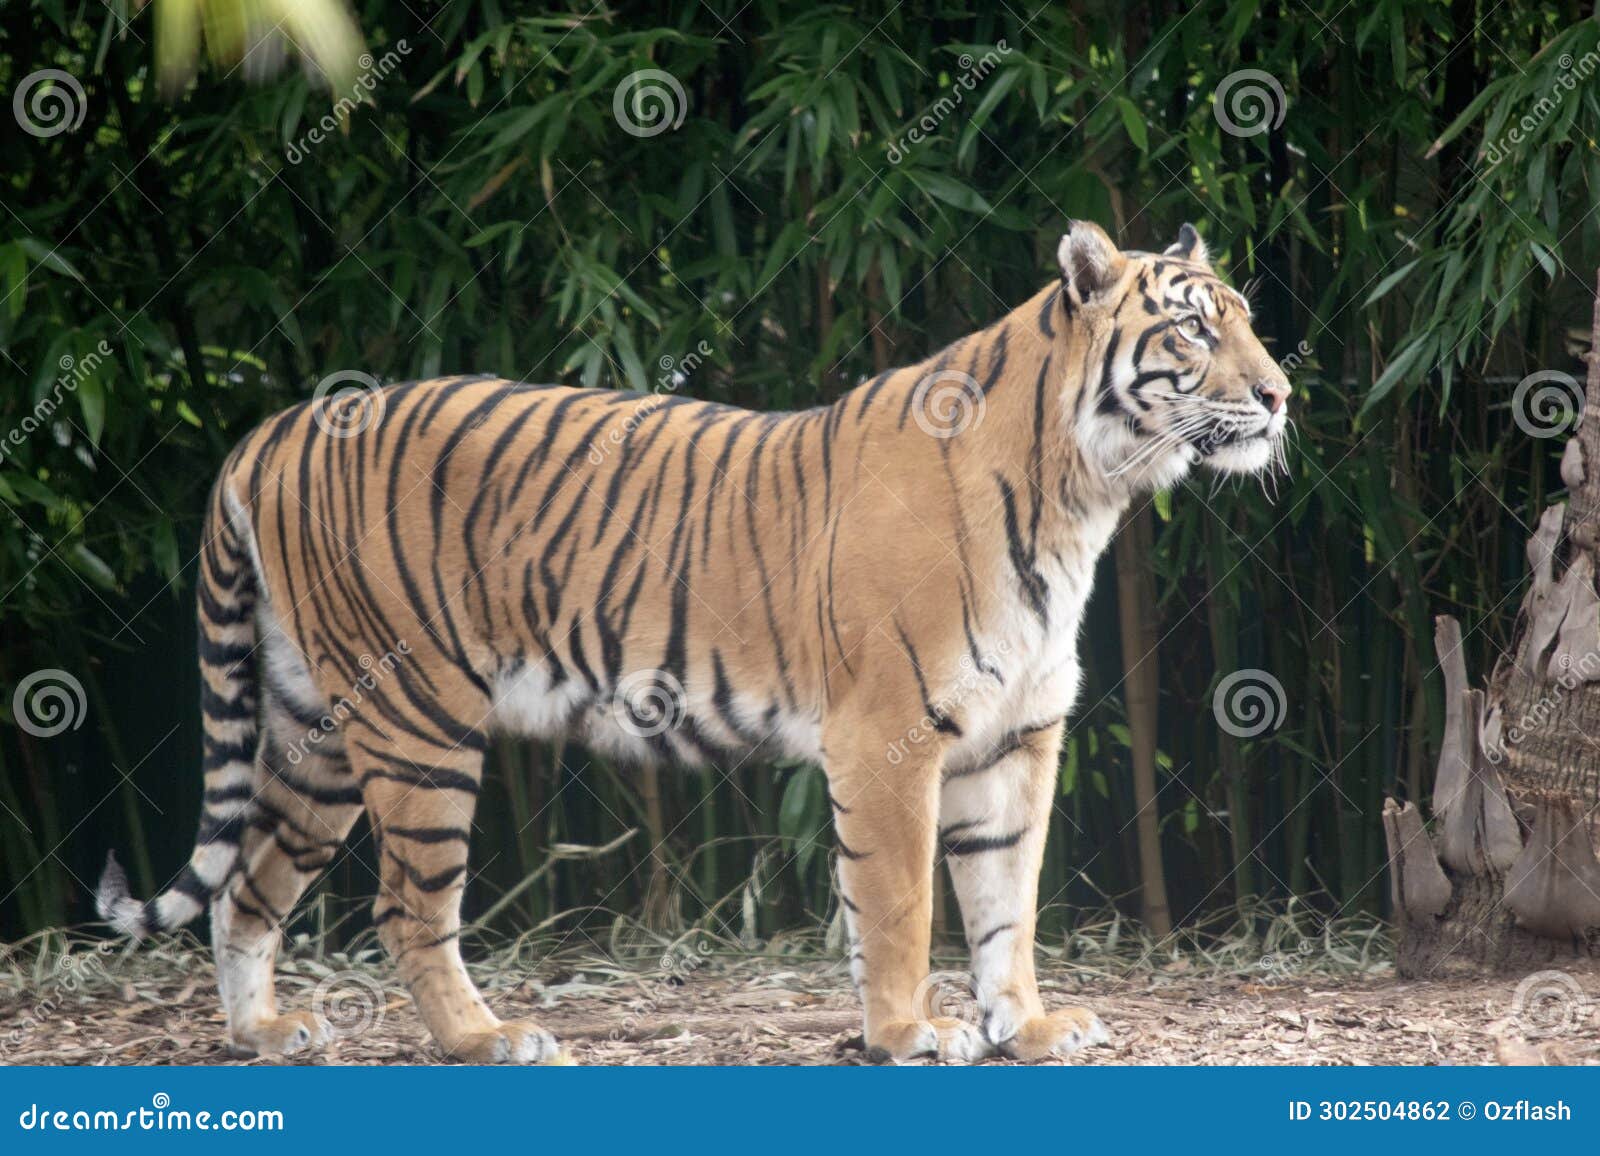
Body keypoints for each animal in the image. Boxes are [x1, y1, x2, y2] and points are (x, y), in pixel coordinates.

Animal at [96, 220, 1290, 1064]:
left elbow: (1007, 902)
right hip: (416, 720)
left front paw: (1027, 1027)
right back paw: (490, 1039)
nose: (1282, 395)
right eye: (1193, 331)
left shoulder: (1017, 735)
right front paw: (910, 1035)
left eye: (1244, 320)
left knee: (248, 885)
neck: (1085, 496)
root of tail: (270, 427)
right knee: (406, 906)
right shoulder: (889, 736)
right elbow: (900, 904)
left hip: (318, 728)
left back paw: (263, 1031)